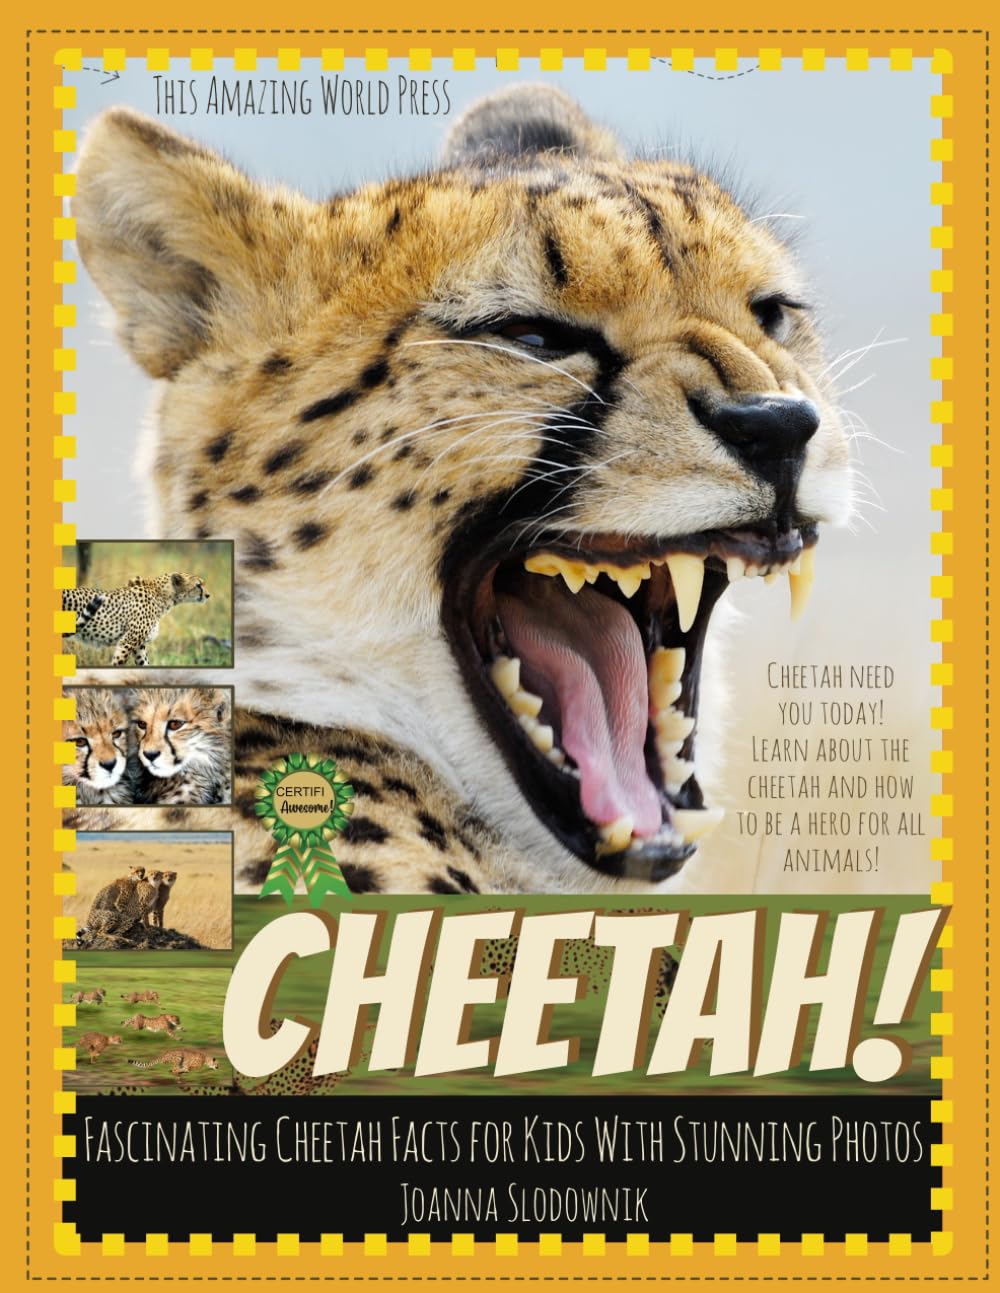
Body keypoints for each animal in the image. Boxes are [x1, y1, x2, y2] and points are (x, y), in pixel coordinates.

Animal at [62, 572, 210, 666]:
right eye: (198, 585)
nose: (208, 595)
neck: (162, 595)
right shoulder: (126, 642)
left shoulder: (138, 646)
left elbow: (145, 663)